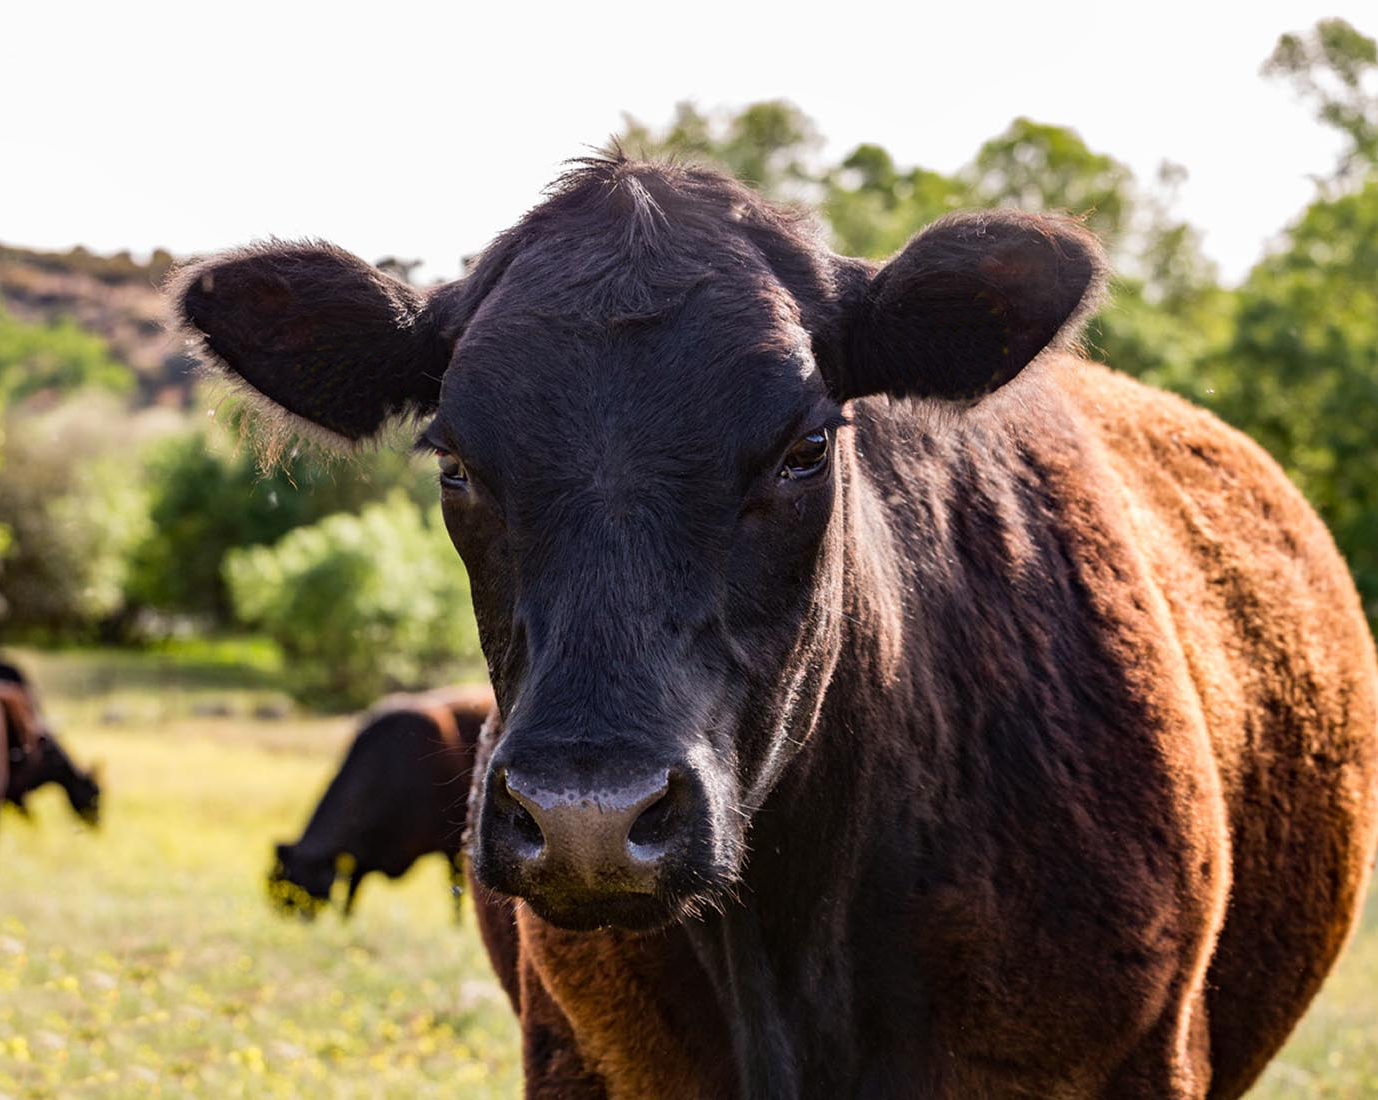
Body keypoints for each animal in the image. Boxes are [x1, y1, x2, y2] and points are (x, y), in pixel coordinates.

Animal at [265, 683, 493, 915]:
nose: (282, 912)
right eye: (276, 883)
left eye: (298, 887)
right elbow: (348, 904)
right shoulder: (359, 858)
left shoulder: (452, 849)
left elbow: (456, 898)